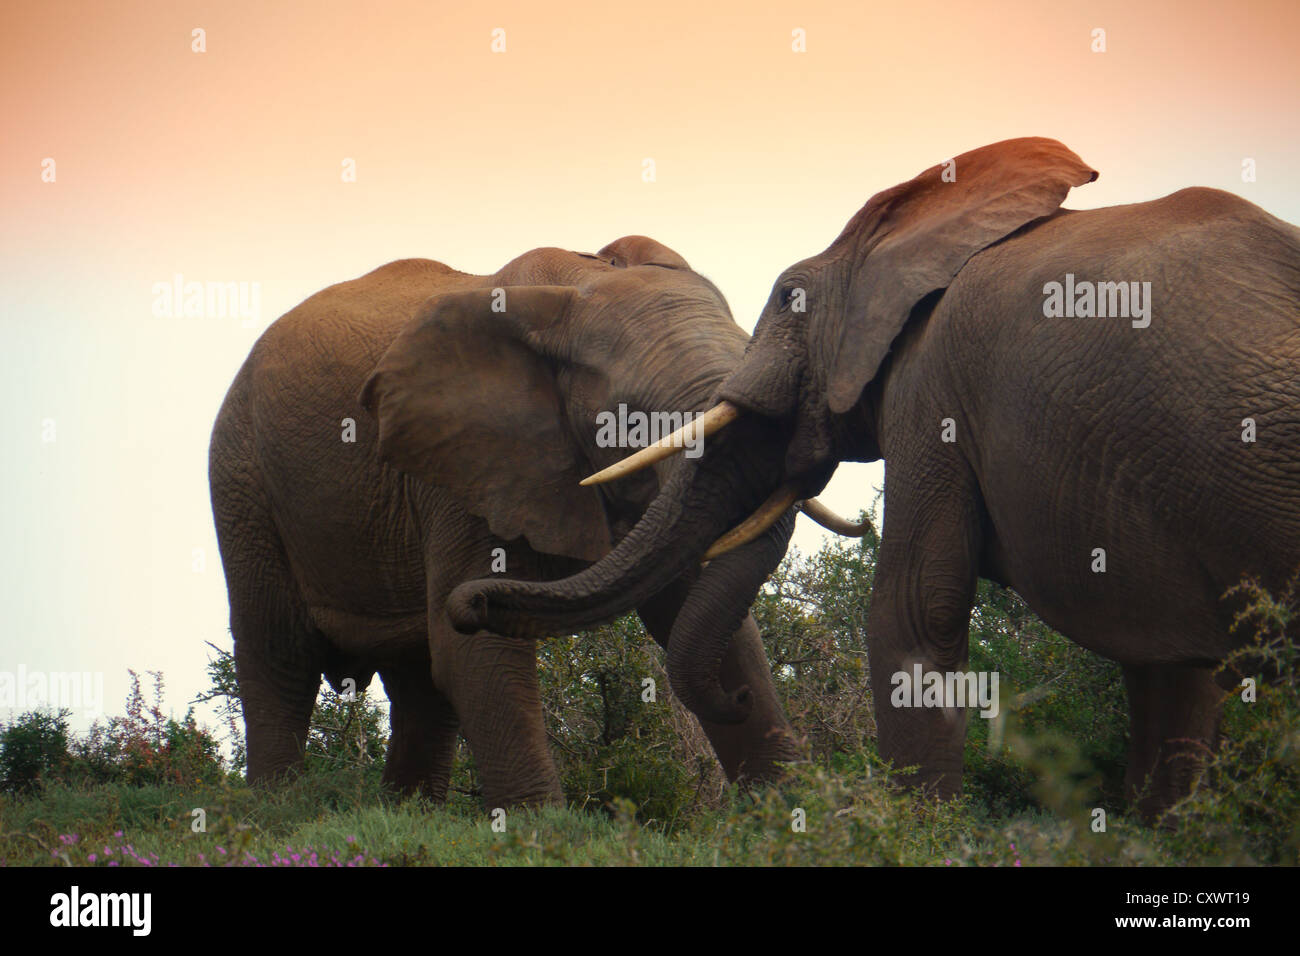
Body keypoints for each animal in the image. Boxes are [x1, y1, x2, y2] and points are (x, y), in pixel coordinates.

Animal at [208, 235, 841, 808]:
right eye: (633, 419)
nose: (737, 699)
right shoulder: (461, 467)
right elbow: (476, 654)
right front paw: (540, 832)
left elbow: (703, 613)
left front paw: (798, 818)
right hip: (242, 481)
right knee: (281, 656)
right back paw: (278, 813)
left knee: (419, 681)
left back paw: (408, 814)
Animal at [448, 138, 1300, 818]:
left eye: (788, 297)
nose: (464, 609)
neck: (918, 222)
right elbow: (1173, 671)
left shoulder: (932, 392)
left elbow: (910, 618)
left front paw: (922, 836)